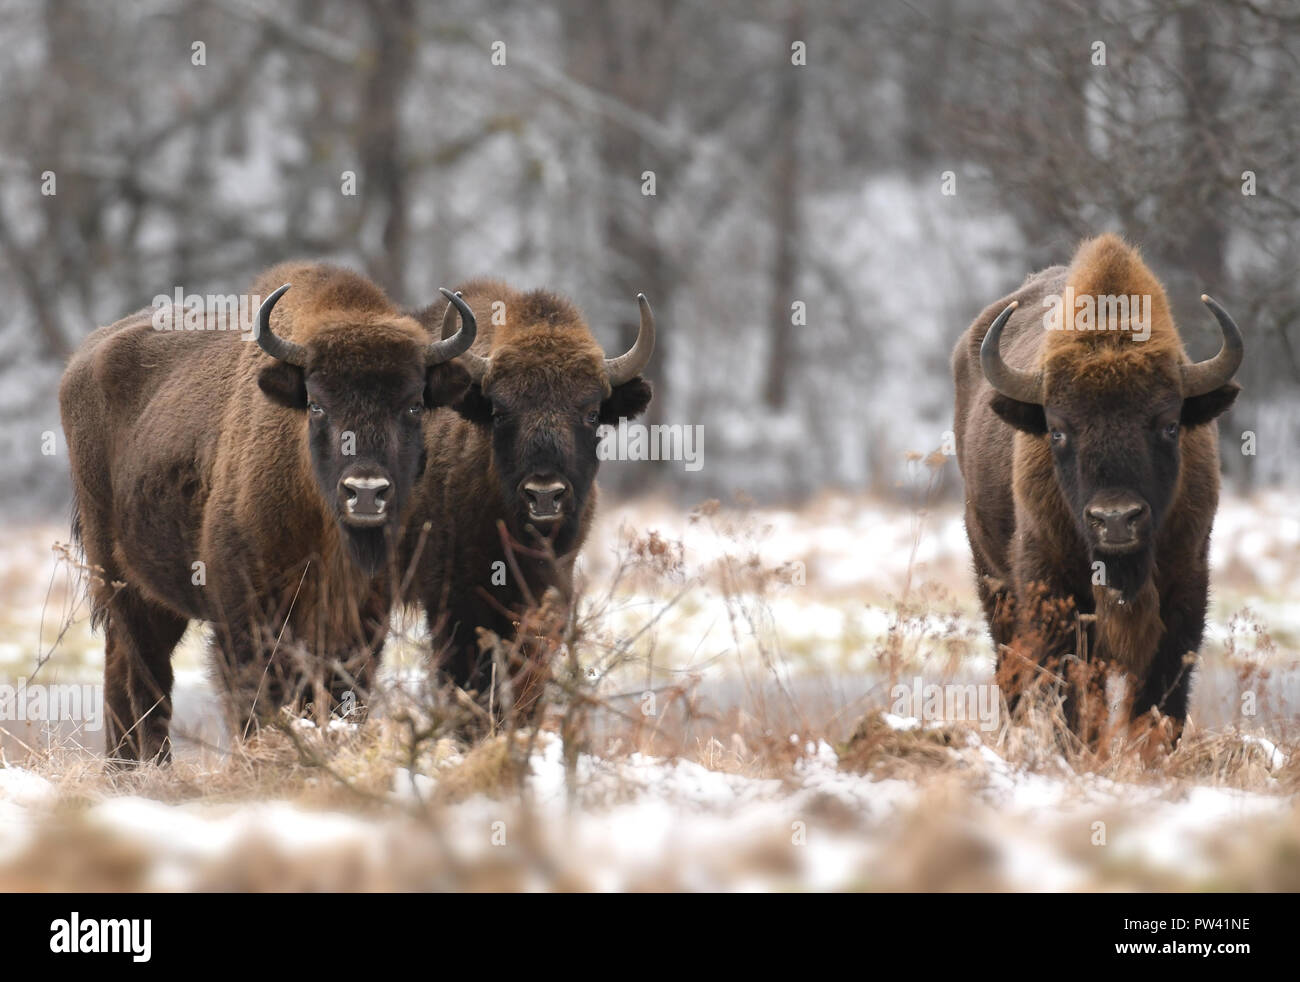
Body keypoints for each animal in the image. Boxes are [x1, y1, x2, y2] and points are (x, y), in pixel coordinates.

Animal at [60, 262, 476, 762]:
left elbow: (342, 696)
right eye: (317, 405)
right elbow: (257, 701)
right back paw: (148, 767)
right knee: (144, 675)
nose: (366, 492)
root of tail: (83, 359)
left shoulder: (361, 620)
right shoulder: (245, 615)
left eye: (414, 405)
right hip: (121, 583)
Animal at [951, 235, 1243, 744]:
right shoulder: (1053, 595)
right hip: (993, 584)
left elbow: (1161, 704)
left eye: (1169, 425)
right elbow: (1069, 696)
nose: (1116, 519)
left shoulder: (1186, 588)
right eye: (1058, 430)